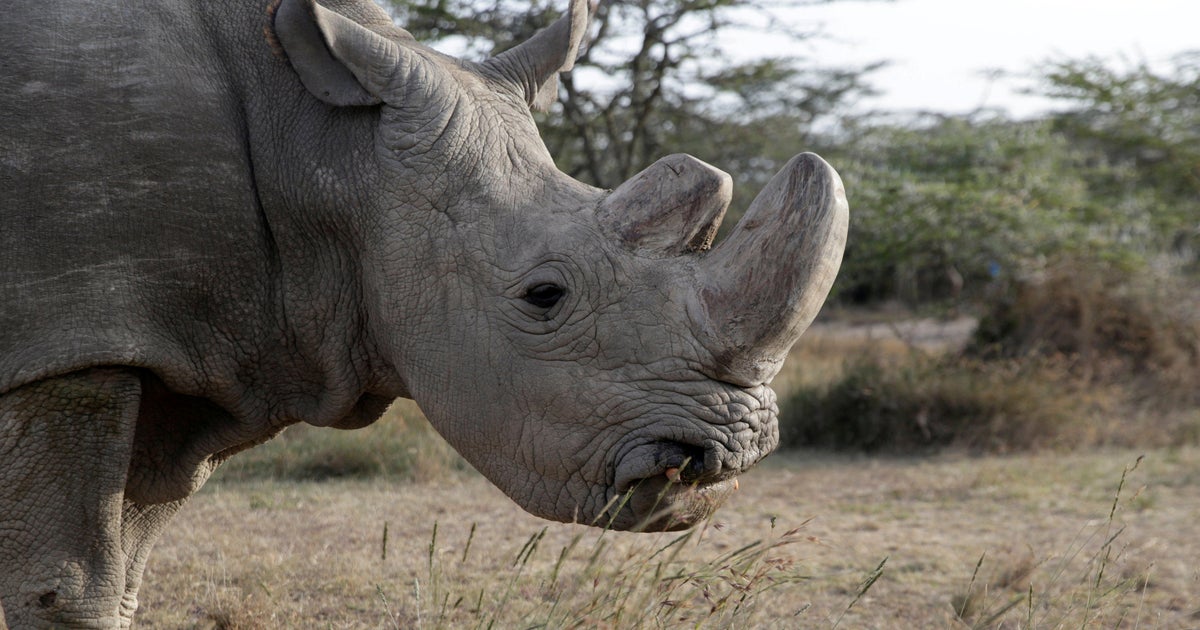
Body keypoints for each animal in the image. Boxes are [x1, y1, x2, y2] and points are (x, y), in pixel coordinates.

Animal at [0, 0, 847, 626]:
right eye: (544, 296)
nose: (732, 452)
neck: (327, 146)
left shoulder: (186, 348)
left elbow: (120, 578)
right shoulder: (71, 337)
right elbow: (63, 584)